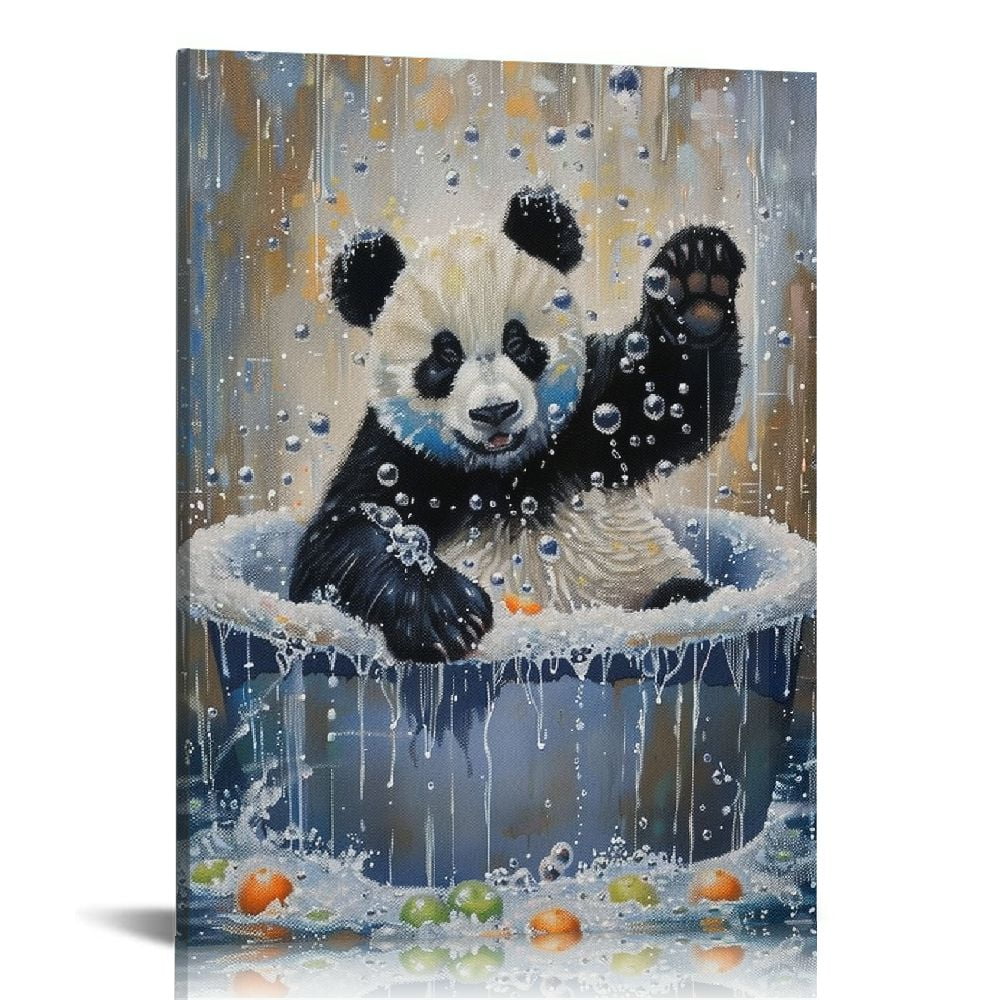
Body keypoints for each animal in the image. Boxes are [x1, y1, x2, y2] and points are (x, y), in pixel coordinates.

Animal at [289, 187, 745, 663]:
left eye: (518, 342)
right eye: (445, 356)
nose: (495, 411)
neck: (506, 474)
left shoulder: (593, 422)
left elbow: (670, 399)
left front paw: (697, 286)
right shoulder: (395, 453)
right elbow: (339, 541)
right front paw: (447, 614)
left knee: (681, 592)